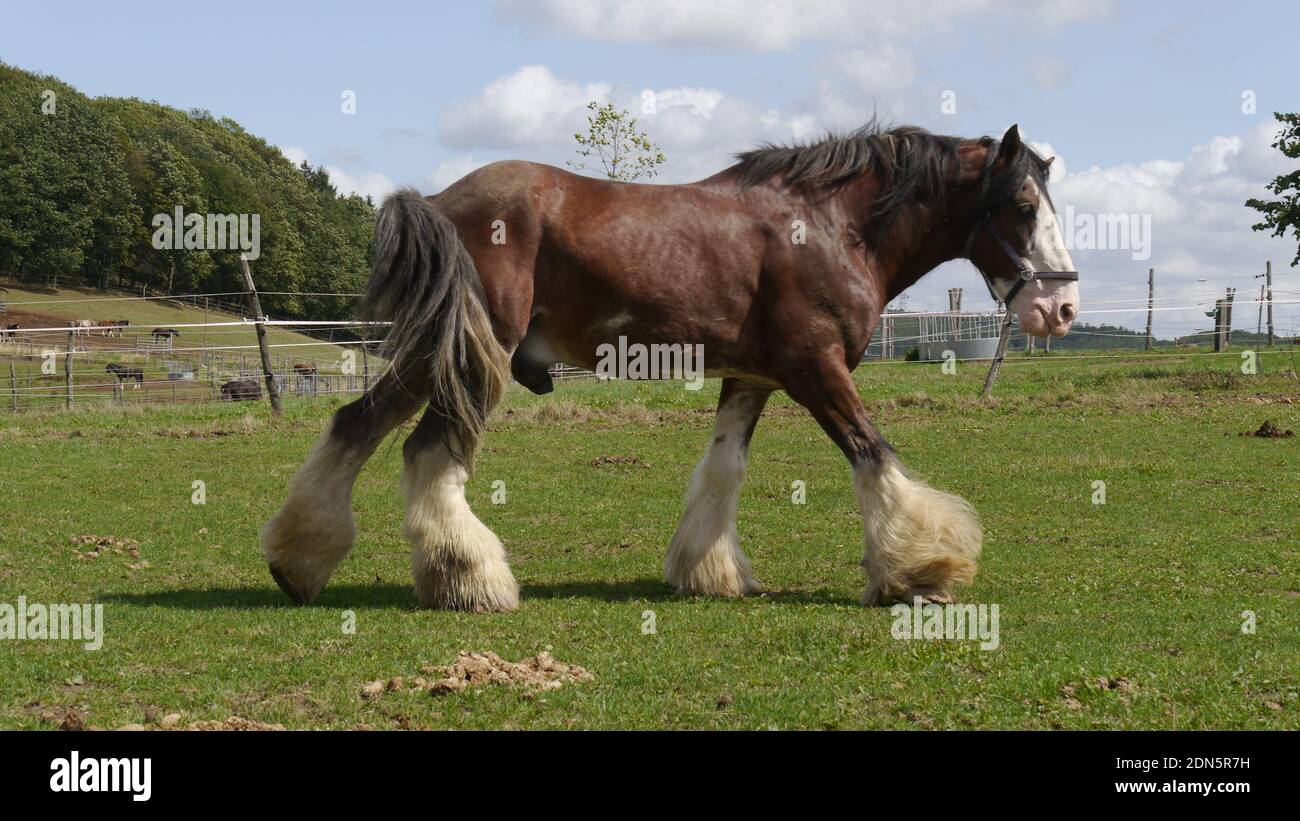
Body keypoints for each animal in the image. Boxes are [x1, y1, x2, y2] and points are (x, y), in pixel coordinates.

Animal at [260, 122, 1079, 612]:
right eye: (1024, 205)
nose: (1062, 308)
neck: (829, 227)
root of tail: (438, 199)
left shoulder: (752, 376)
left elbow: (723, 471)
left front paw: (709, 570)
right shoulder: (815, 369)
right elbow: (874, 454)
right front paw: (921, 569)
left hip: (439, 353)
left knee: (355, 424)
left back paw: (299, 561)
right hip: (472, 354)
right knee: (427, 449)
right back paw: (472, 580)